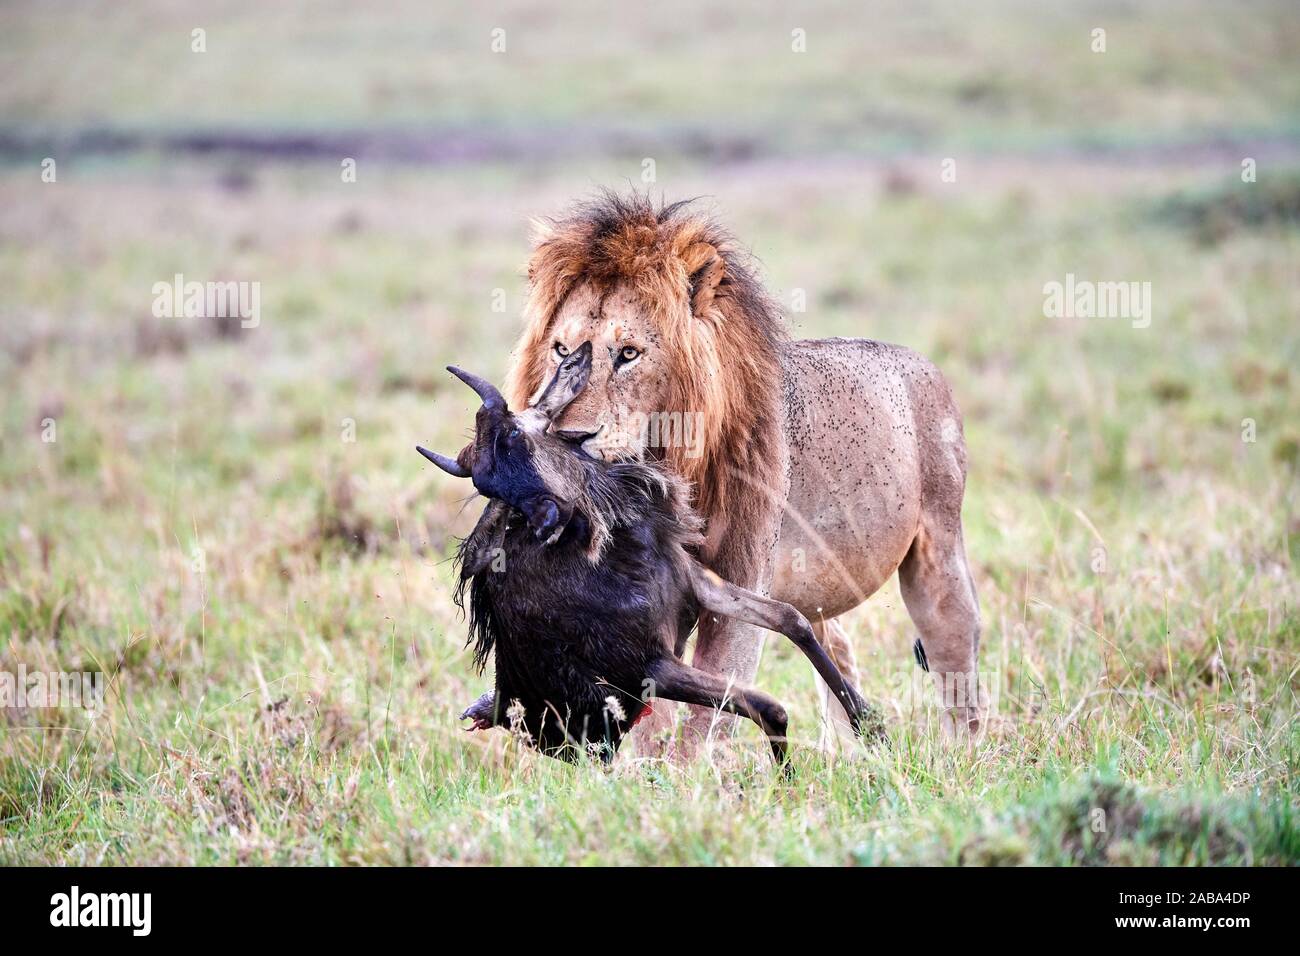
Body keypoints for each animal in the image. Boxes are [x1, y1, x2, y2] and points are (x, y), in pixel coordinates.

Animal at [503, 192, 982, 750]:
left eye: (628, 353)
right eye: (561, 349)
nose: (567, 435)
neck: (670, 466)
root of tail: (924, 363)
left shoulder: (740, 574)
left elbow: (712, 708)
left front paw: (688, 773)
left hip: (939, 544)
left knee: (956, 650)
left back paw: (963, 754)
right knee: (836, 646)